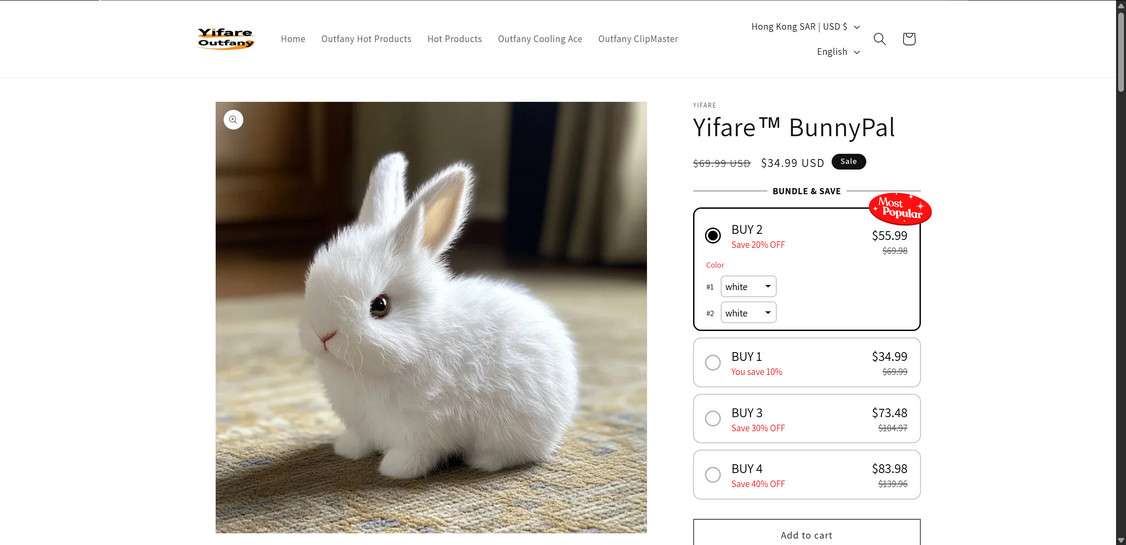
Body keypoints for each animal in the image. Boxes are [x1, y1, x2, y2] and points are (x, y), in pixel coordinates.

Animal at [298, 153, 579, 479]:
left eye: (380, 305)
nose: (323, 334)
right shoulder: (362, 423)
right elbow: (361, 439)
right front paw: (347, 450)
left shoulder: (424, 427)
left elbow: (417, 452)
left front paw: (395, 469)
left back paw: (483, 461)